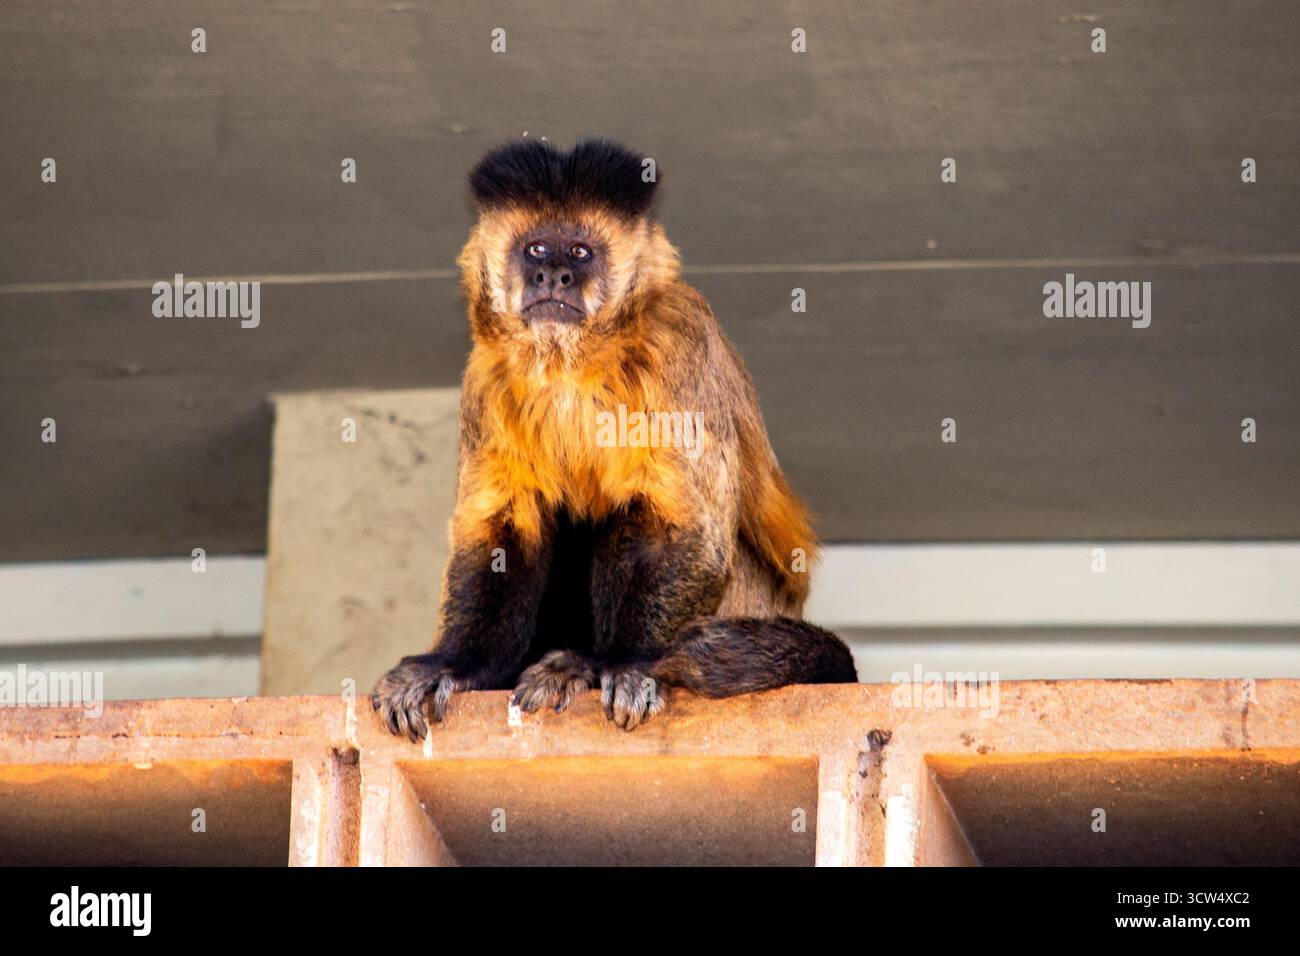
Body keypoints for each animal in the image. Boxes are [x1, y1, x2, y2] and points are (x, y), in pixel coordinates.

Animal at [372, 138, 857, 741]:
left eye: (579, 253)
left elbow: (686, 532)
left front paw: (621, 663)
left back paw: (585, 662)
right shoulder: (483, 375)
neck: (571, 363)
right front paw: (459, 665)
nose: (553, 276)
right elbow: (502, 530)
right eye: (537, 248)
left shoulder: (677, 340)